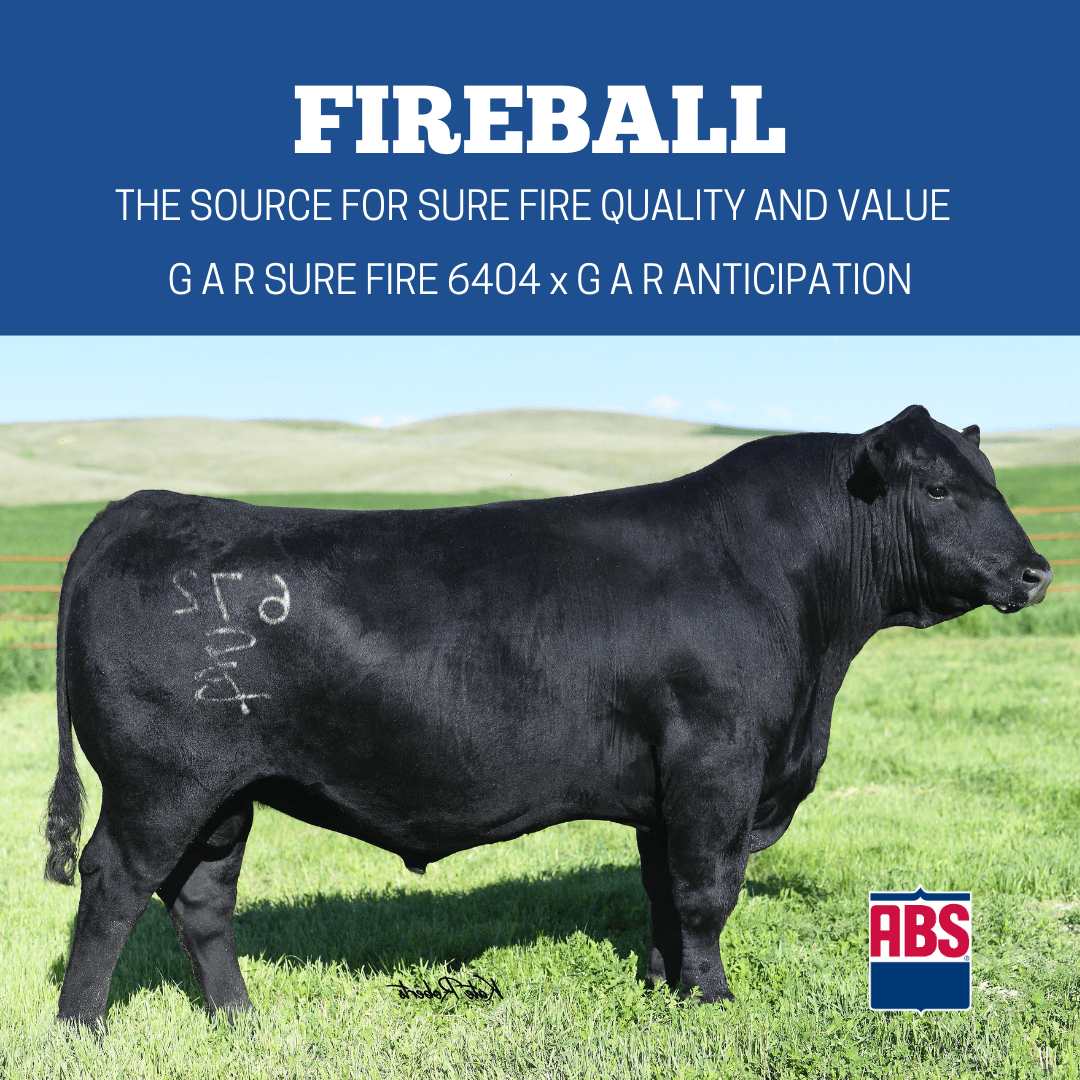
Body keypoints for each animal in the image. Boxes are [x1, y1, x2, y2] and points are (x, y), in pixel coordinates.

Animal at [44, 405, 1051, 1028]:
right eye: (939, 488)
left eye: (994, 479)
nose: (1036, 571)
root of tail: (142, 506)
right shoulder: (718, 764)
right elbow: (707, 891)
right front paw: (714, 1003)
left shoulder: (665, 787)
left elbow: (663, 892)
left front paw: (664, 988)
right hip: (159, 784)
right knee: (113, 884)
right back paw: (81, 1030)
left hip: (226, 794)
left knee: (202, 898)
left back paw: (242, 1021)